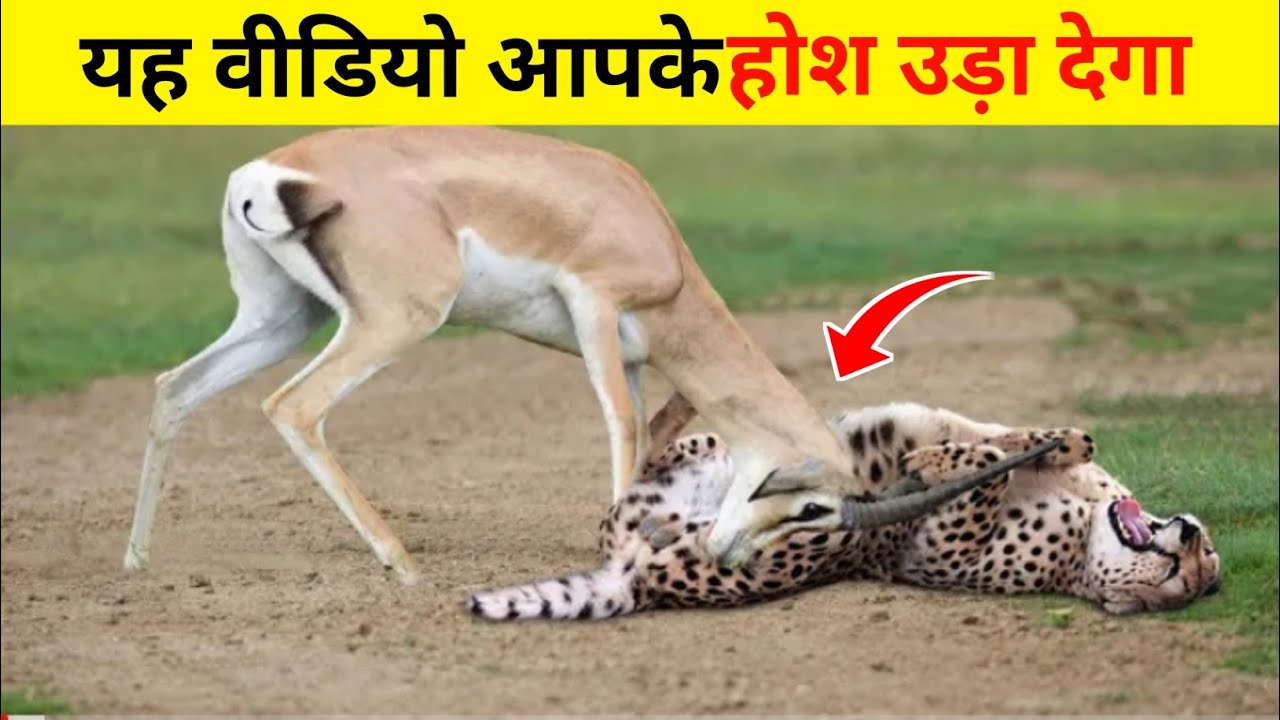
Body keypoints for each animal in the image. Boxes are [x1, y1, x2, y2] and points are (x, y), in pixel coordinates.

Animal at [124, 126, 1007, 585]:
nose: (728, 553)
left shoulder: (641, 357)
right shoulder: (595, 307)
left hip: (284, 317)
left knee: (174, 387)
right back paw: (402, 561)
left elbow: (650, 434)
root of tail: (271, 172)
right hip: (397, 319)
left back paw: (135, 562)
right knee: (294, 406)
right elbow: (620, 423)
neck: (658, 243)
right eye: (815, 506)